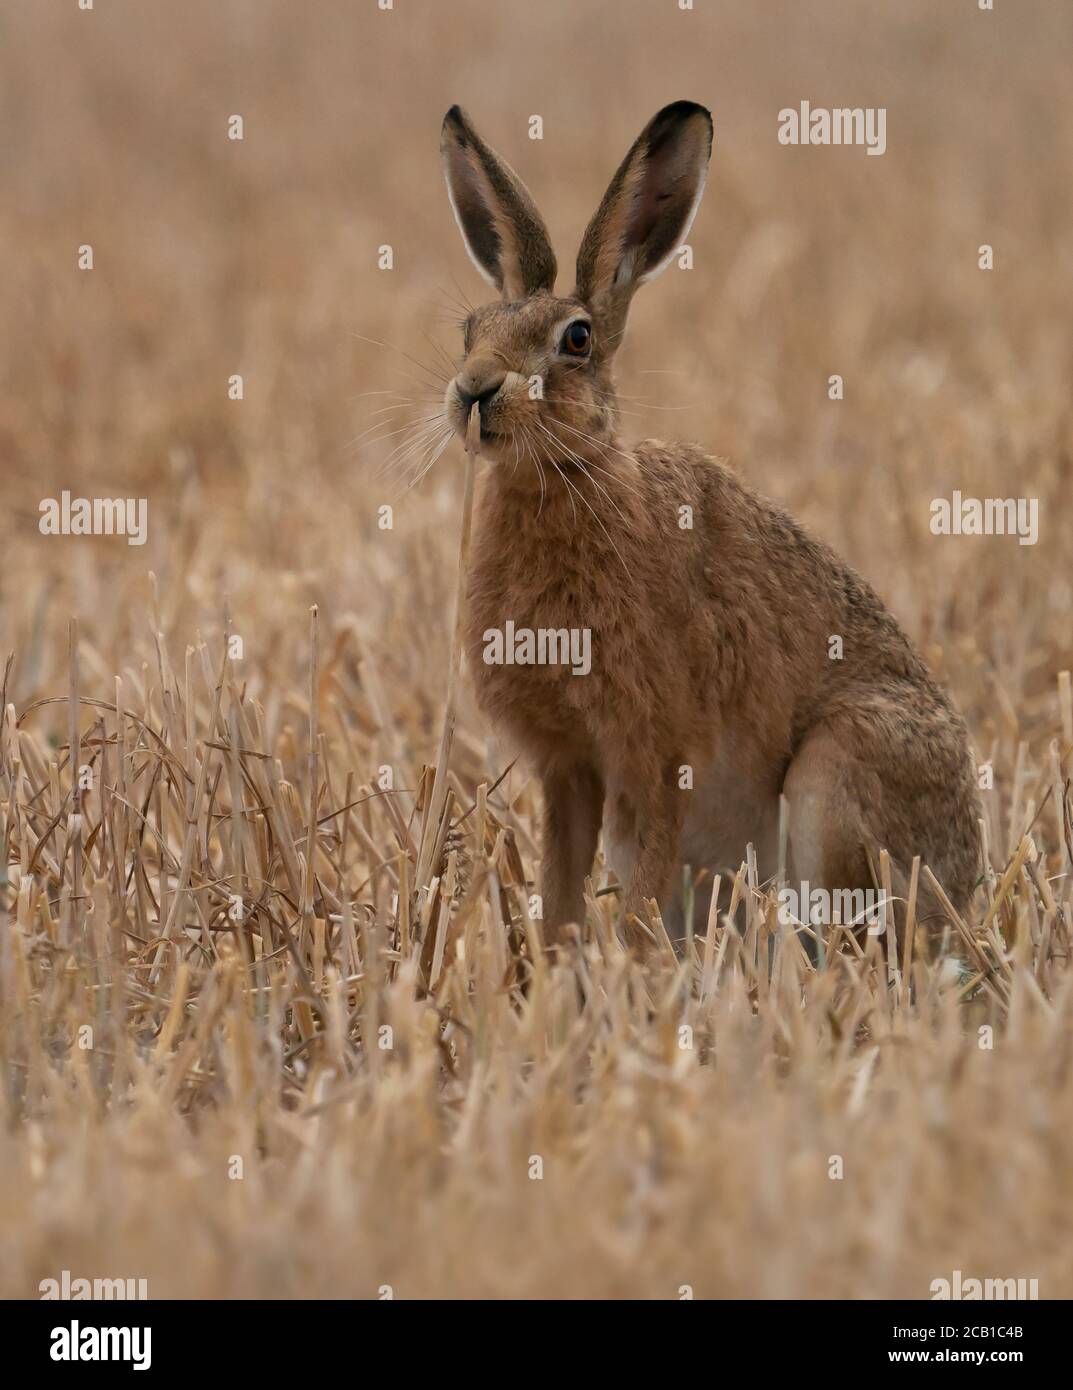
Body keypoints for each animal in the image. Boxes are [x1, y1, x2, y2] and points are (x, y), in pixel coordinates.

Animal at [438, 101, 982, 949]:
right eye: (470, 327)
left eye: (576, 339)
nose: (473, 389)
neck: (567, 479)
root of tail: (969, 895)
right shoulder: (568, 767)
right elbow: (561, 888)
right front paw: (556, 970)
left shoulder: (659, 752)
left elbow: (644, 883)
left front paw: (628, 964)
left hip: (837, 770)